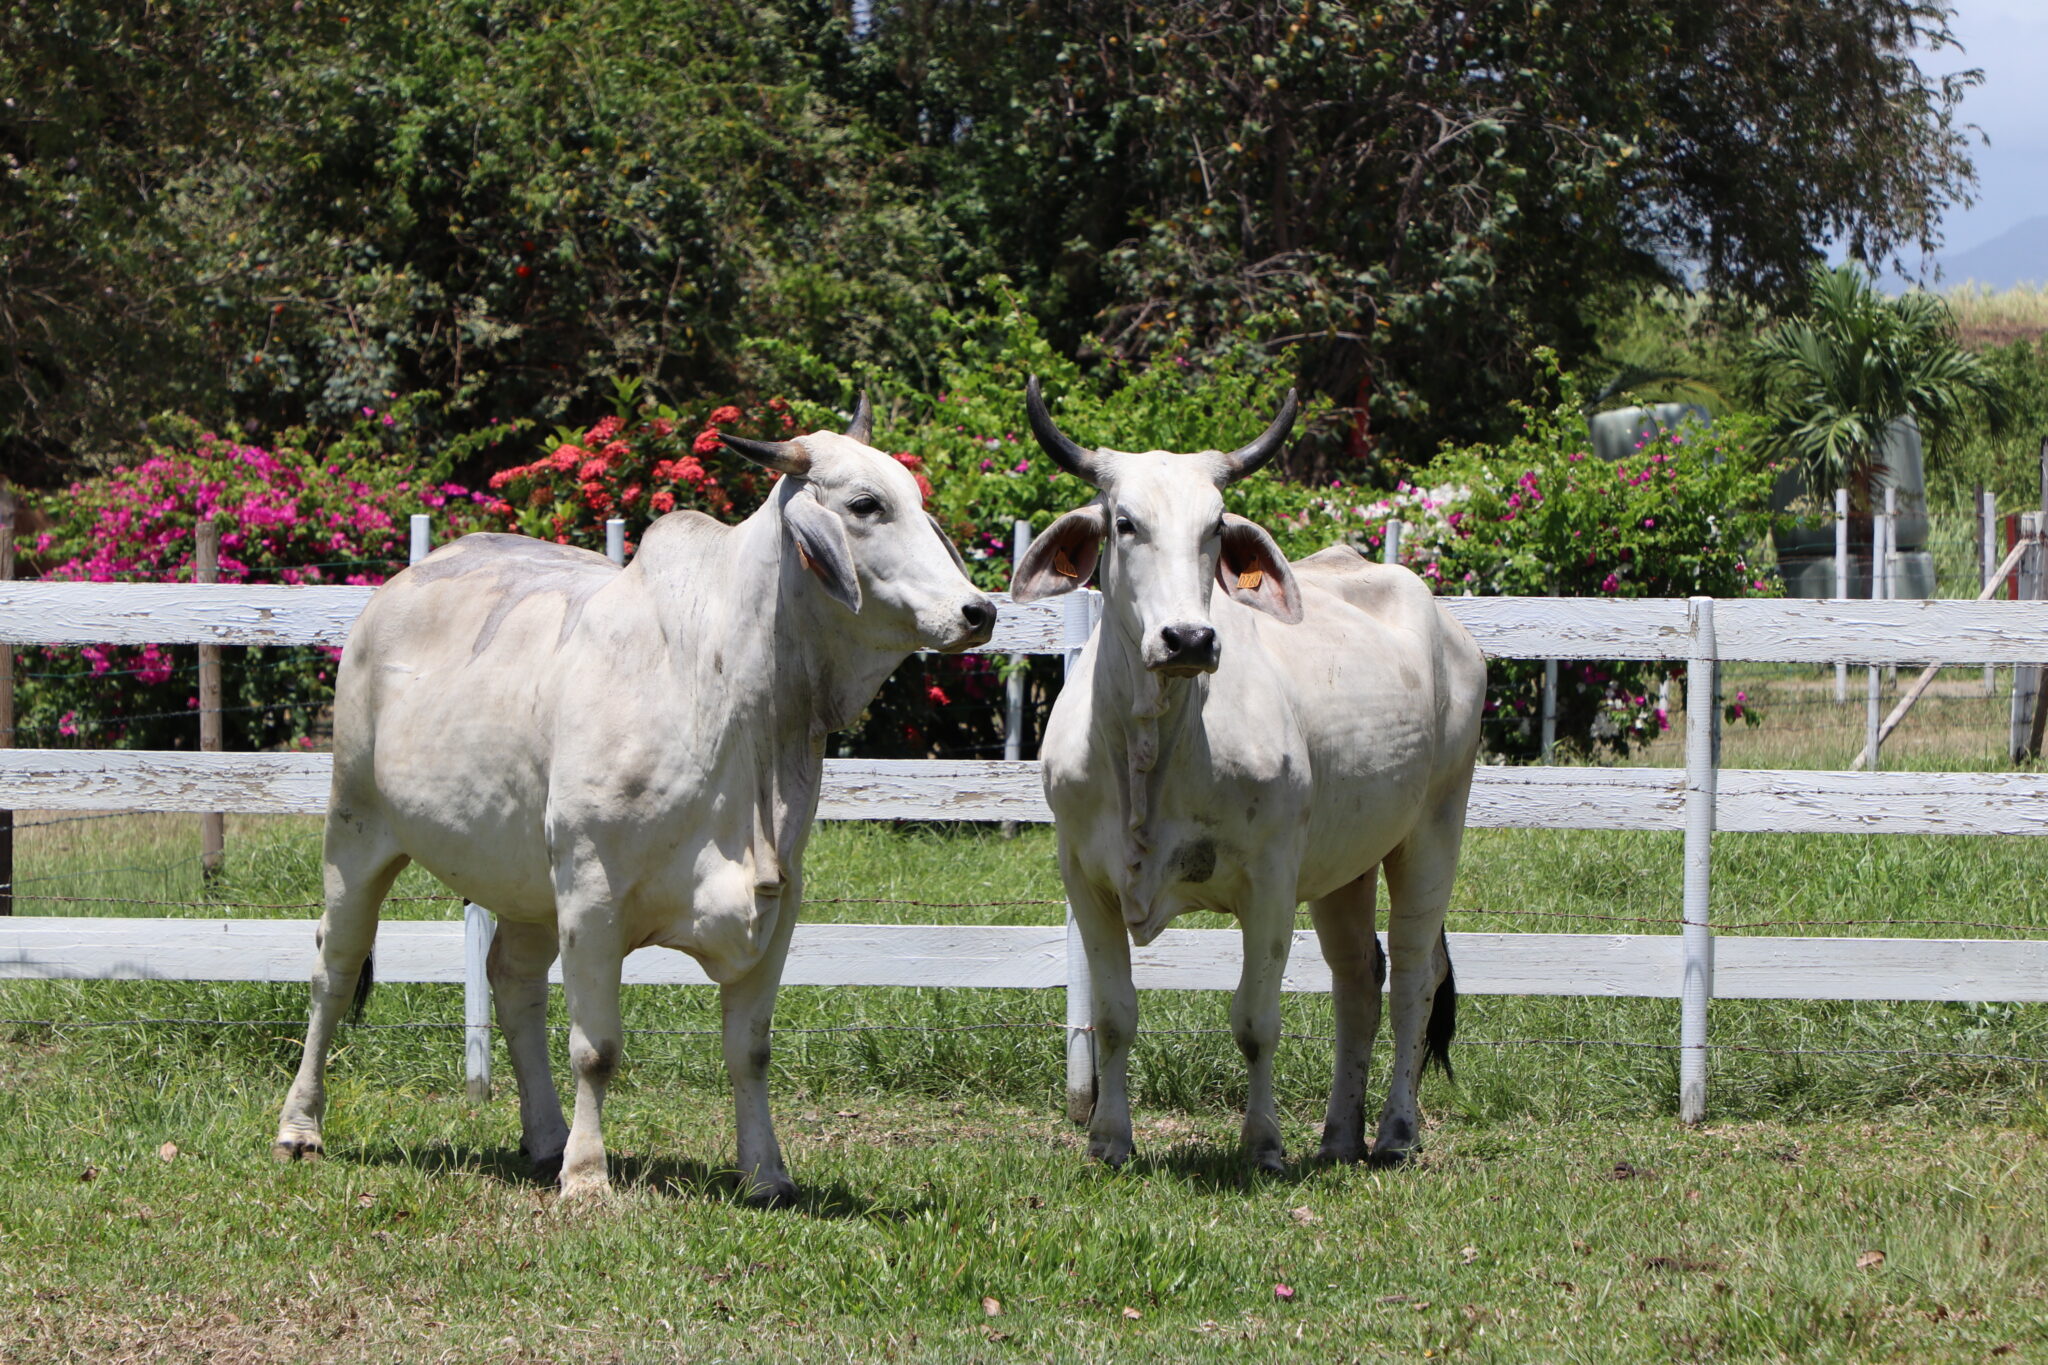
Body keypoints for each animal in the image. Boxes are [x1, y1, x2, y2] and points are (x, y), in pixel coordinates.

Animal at [274, 399, 995, 1204]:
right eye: (866, 505)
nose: (979, 611)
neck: (739, 705)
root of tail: (396, 588)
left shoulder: (780, 901)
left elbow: (750, 1050)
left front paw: (766, 1173)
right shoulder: (592, 891)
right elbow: (597, 1048)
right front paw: (590, 1178)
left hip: (527, 879)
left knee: (513, 983)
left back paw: (545, 1137)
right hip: (356, 828)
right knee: (333, 970)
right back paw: (301, 1127)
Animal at [1010, 379, 1485, 1170]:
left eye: (1215, 526)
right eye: (1124, 522)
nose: (1187, 639)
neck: (1152, 748)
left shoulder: (1270, 882)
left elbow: (1256, 1021)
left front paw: (1262, 1143)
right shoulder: (1085, 877)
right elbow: (1114, 1014)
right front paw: (1109, 1139)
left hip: (1432, 831)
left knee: (1415, 979)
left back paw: (1395, 1132)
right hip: (1345, 863)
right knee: (1359, 980)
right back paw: (1338, 1136)